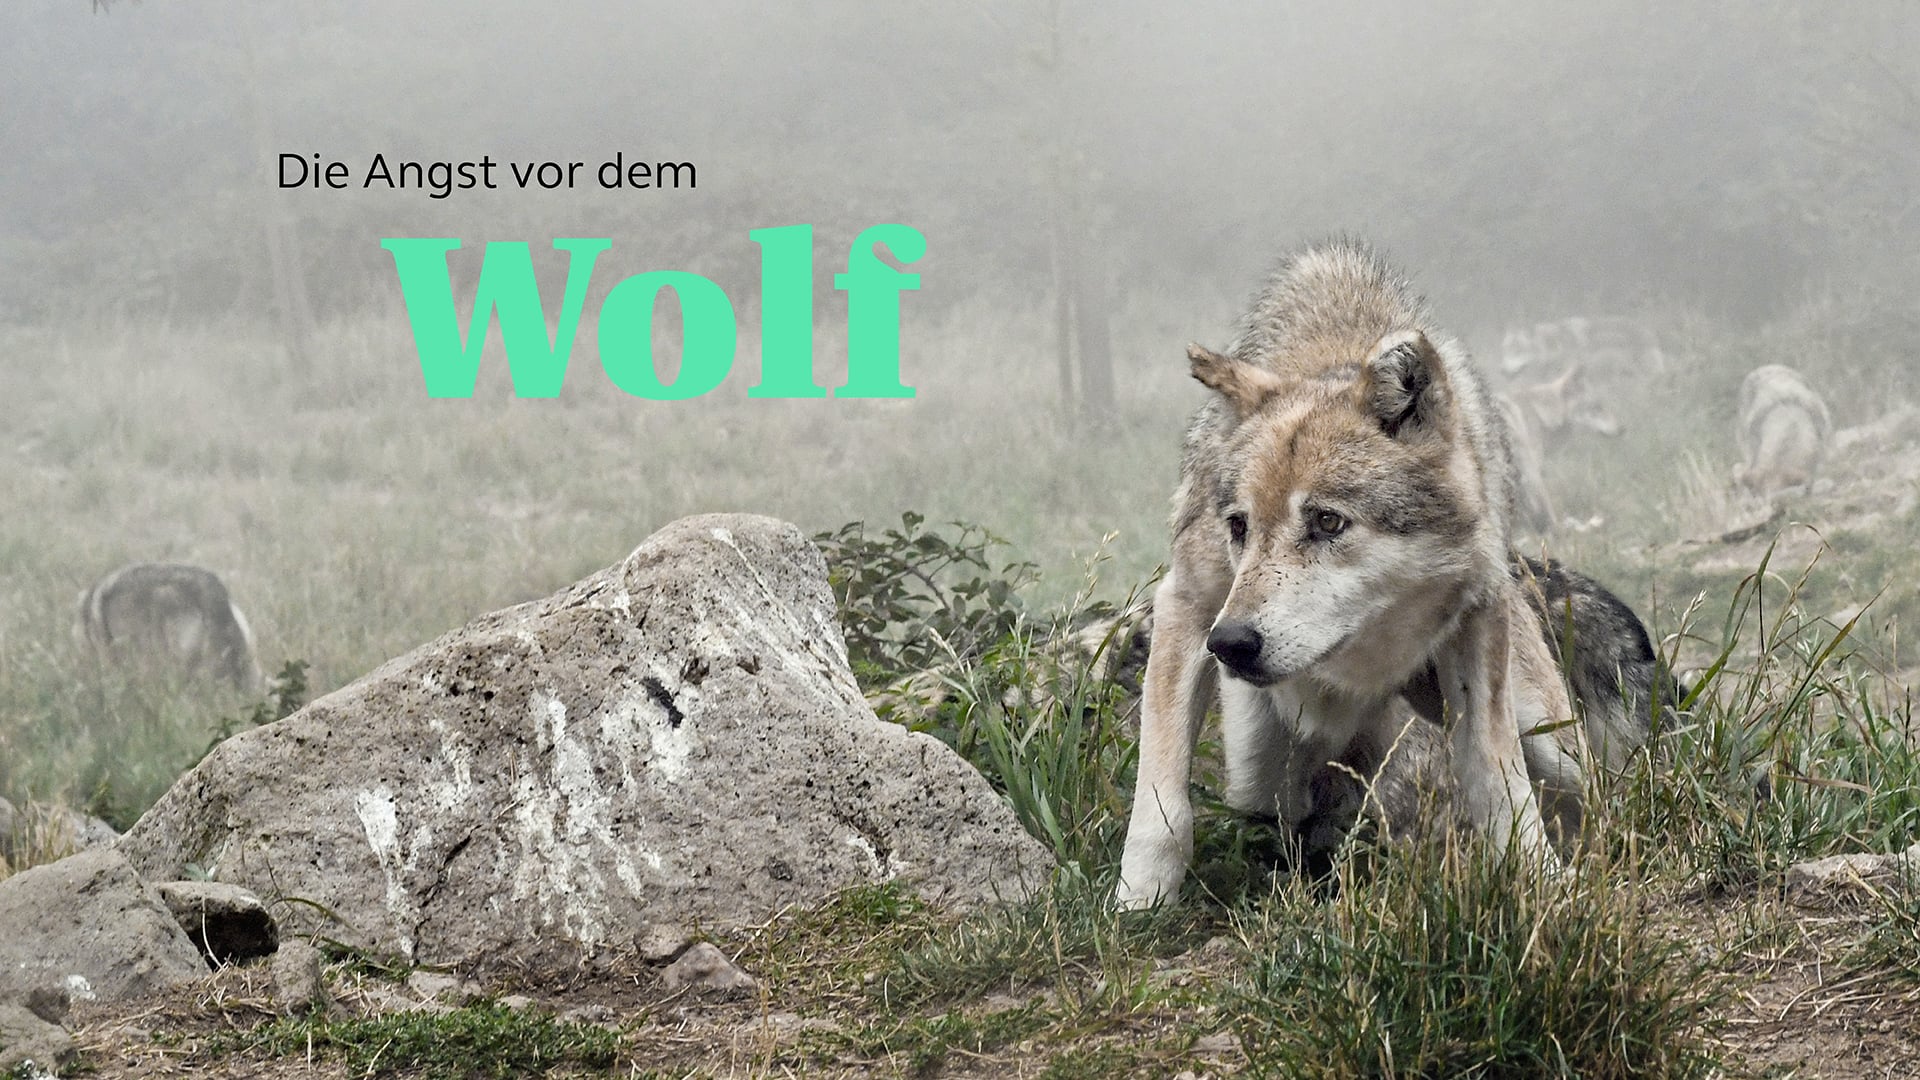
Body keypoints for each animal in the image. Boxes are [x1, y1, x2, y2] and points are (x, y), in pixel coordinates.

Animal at [1117, 241, 1615, 908]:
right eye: (1239, 527)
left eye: (1327, 521)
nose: (1231, 644)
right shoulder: (1188, 604)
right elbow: (1163, 798)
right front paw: (1138, 902)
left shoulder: (1478, 615)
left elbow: (1496, 775)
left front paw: (1541, 882)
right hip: (1263, 753)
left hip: (1548, 733)